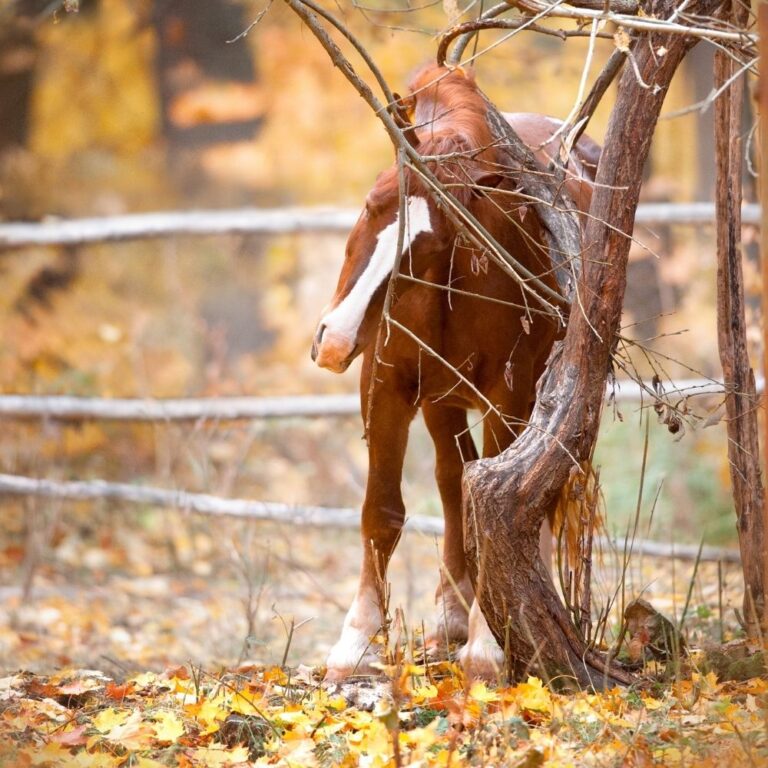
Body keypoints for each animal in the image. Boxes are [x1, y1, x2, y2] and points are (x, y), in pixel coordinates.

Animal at [311, 64, 599, 681]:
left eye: (432, 245)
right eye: (370, 204)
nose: (336, 341)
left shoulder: (508, 400)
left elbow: (500, 513)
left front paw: (488, 646)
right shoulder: (386, 387)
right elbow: (383, 511)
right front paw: (357, 641)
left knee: (518, 499)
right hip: (442, 400)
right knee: (452, 480)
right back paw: (449, 614)